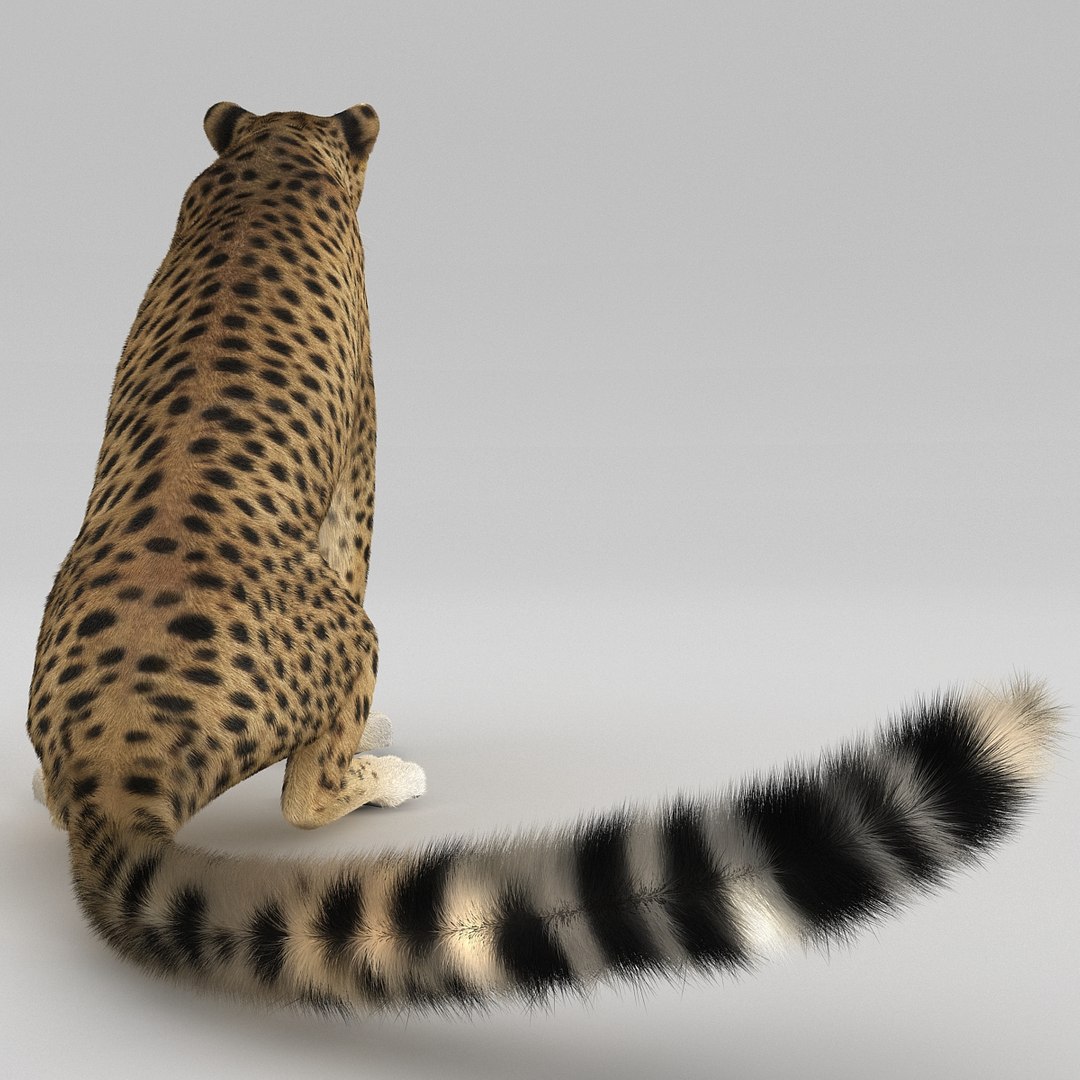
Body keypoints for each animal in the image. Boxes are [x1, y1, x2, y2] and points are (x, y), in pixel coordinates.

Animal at [27, 102, 1061, 1015]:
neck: (267, 161)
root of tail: (108, 752)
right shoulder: (359, 459)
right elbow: (354, 539)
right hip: (355, 633)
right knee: (307, 796)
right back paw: (381, 771)